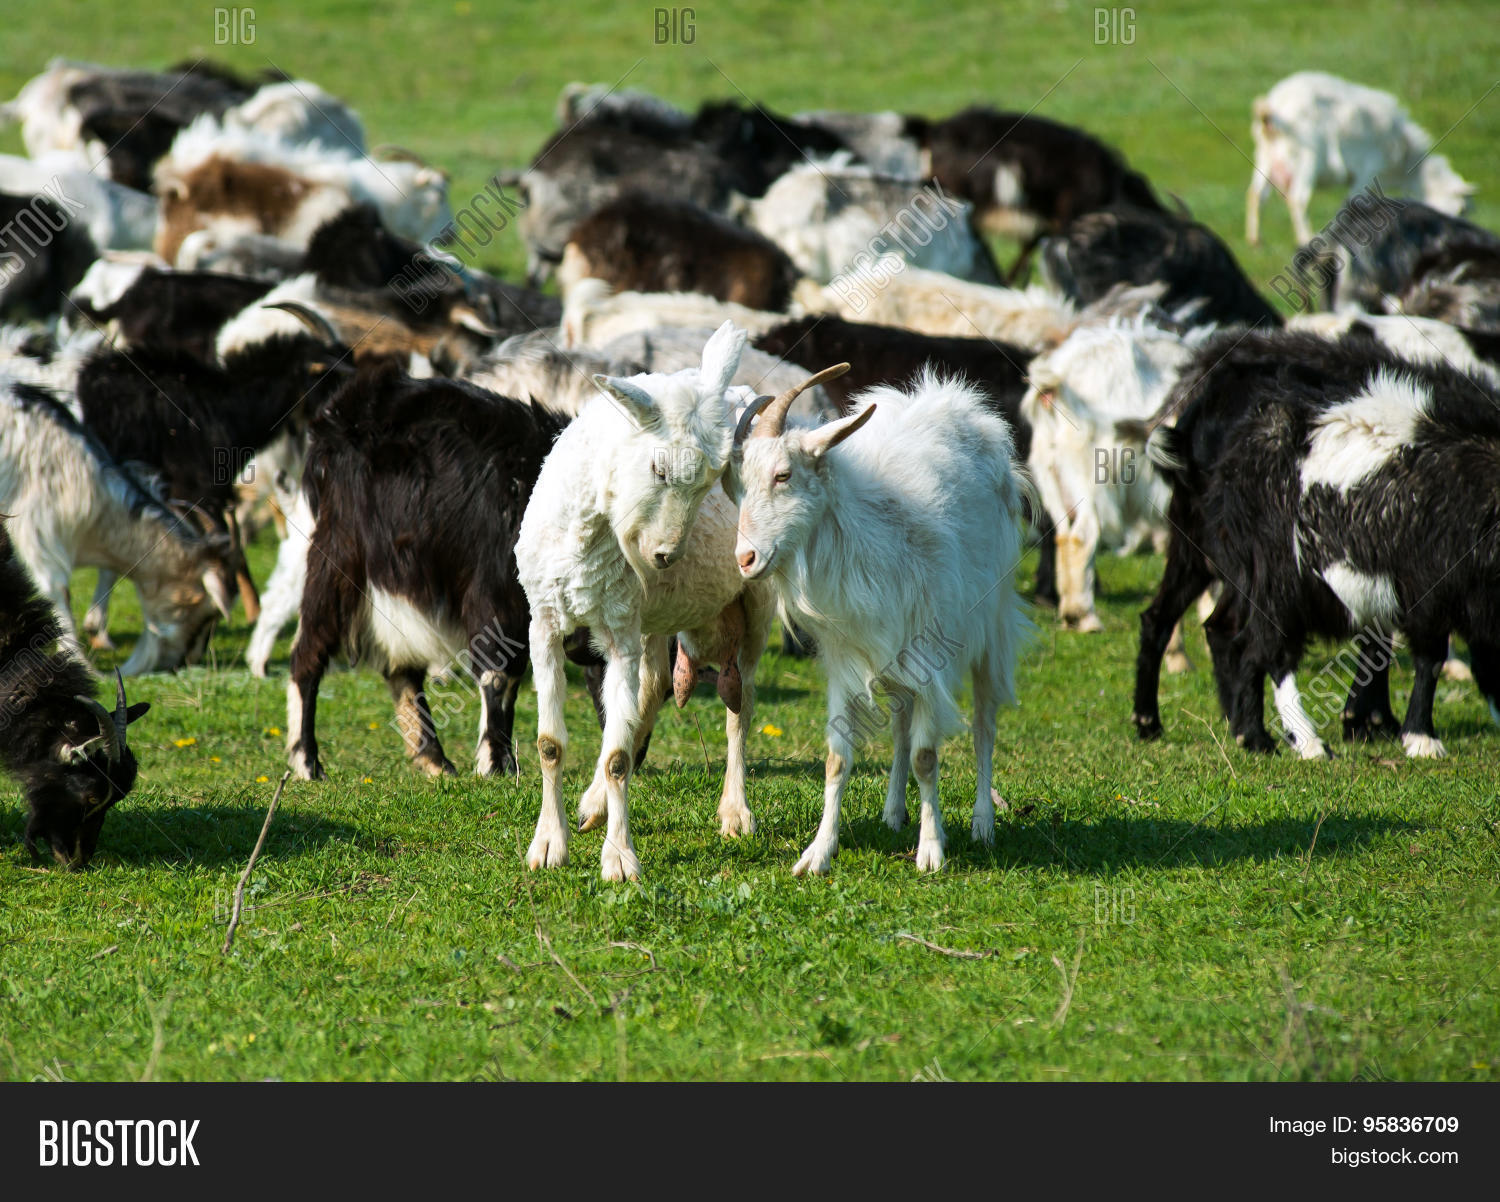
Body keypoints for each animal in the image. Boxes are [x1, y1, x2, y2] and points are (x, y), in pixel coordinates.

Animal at [731, 367, 1029, 873]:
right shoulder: (848, 658)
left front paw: (931, 850)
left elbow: (927, 758)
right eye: (741, 485)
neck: (868, 535)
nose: (745, 559)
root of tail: (962, 406)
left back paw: (982, 822)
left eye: (783, 475)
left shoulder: (930, 654)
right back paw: (893, 811)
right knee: (900, 726)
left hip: (991, 627)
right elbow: (837, 758)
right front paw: (819, 852)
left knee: (984, 726)